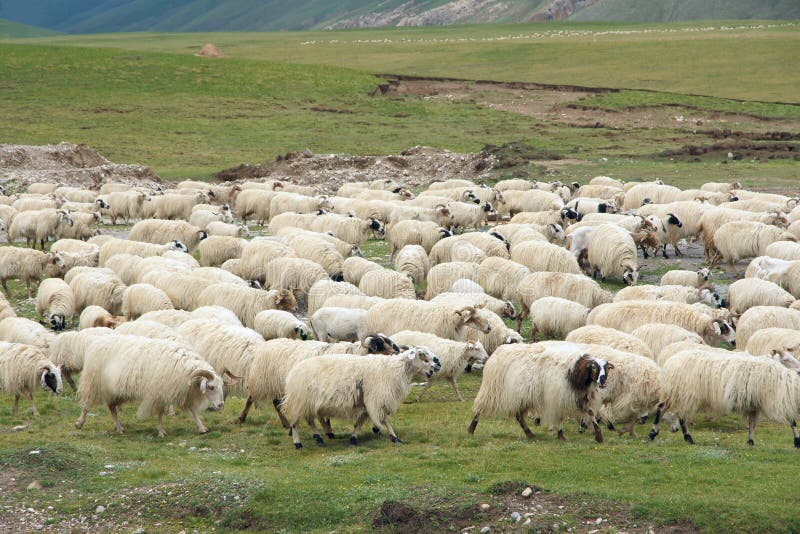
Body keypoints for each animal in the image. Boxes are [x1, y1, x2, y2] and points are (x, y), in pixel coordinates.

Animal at [76, 336, 227, 436]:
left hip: (115, 391)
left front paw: (202, 427)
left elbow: (193, 411)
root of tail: (97, 342)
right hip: (93, 383)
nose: (221, 405)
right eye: (211, 387)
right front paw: (161, 431)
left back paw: (119, 427)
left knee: (112, 407)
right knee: (86, 405)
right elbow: (160, 413)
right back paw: (80, 422)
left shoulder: (181, 392)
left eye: (221, 386)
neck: (185, 367)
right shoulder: (158, 391)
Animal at [283, 347, 441, 447]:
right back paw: (298, 443)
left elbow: (359, 422)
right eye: (423, 355)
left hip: (307, 402)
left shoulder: (366, 402)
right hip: (300, 400)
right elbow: (386, 420)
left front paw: (354, 438)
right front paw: (394, 437)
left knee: (309, 420)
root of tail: (293, 371)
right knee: (295, 423)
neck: (394, 370)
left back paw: (318, 438)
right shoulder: (376, 399)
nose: (438, 364)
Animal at [468, 342, 613, 442]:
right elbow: (559, 417)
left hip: (521, 396)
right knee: (480, 410)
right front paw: (561, 435)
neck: (575, 371)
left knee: (519, 416)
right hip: (492, 391)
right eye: (594, 367)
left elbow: (591, 414)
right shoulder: (557, 397)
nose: (602, 381)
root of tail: (498, 351)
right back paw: (471, 429)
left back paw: (530, 434)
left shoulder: (582, 396)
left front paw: (599, 436)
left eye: (607, 368)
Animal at [649, 348, 800, 448]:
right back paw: (655, 433)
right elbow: (792, 420)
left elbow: (752, 424)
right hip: (682, 392)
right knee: (663, 409)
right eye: (787, 359)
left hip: (680, 394)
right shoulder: (777, 400)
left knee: (677, 413)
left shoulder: (753, 404)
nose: (799, 369)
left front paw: (750, 442)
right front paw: (797, 441)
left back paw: (686, 437)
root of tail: (672, 361)